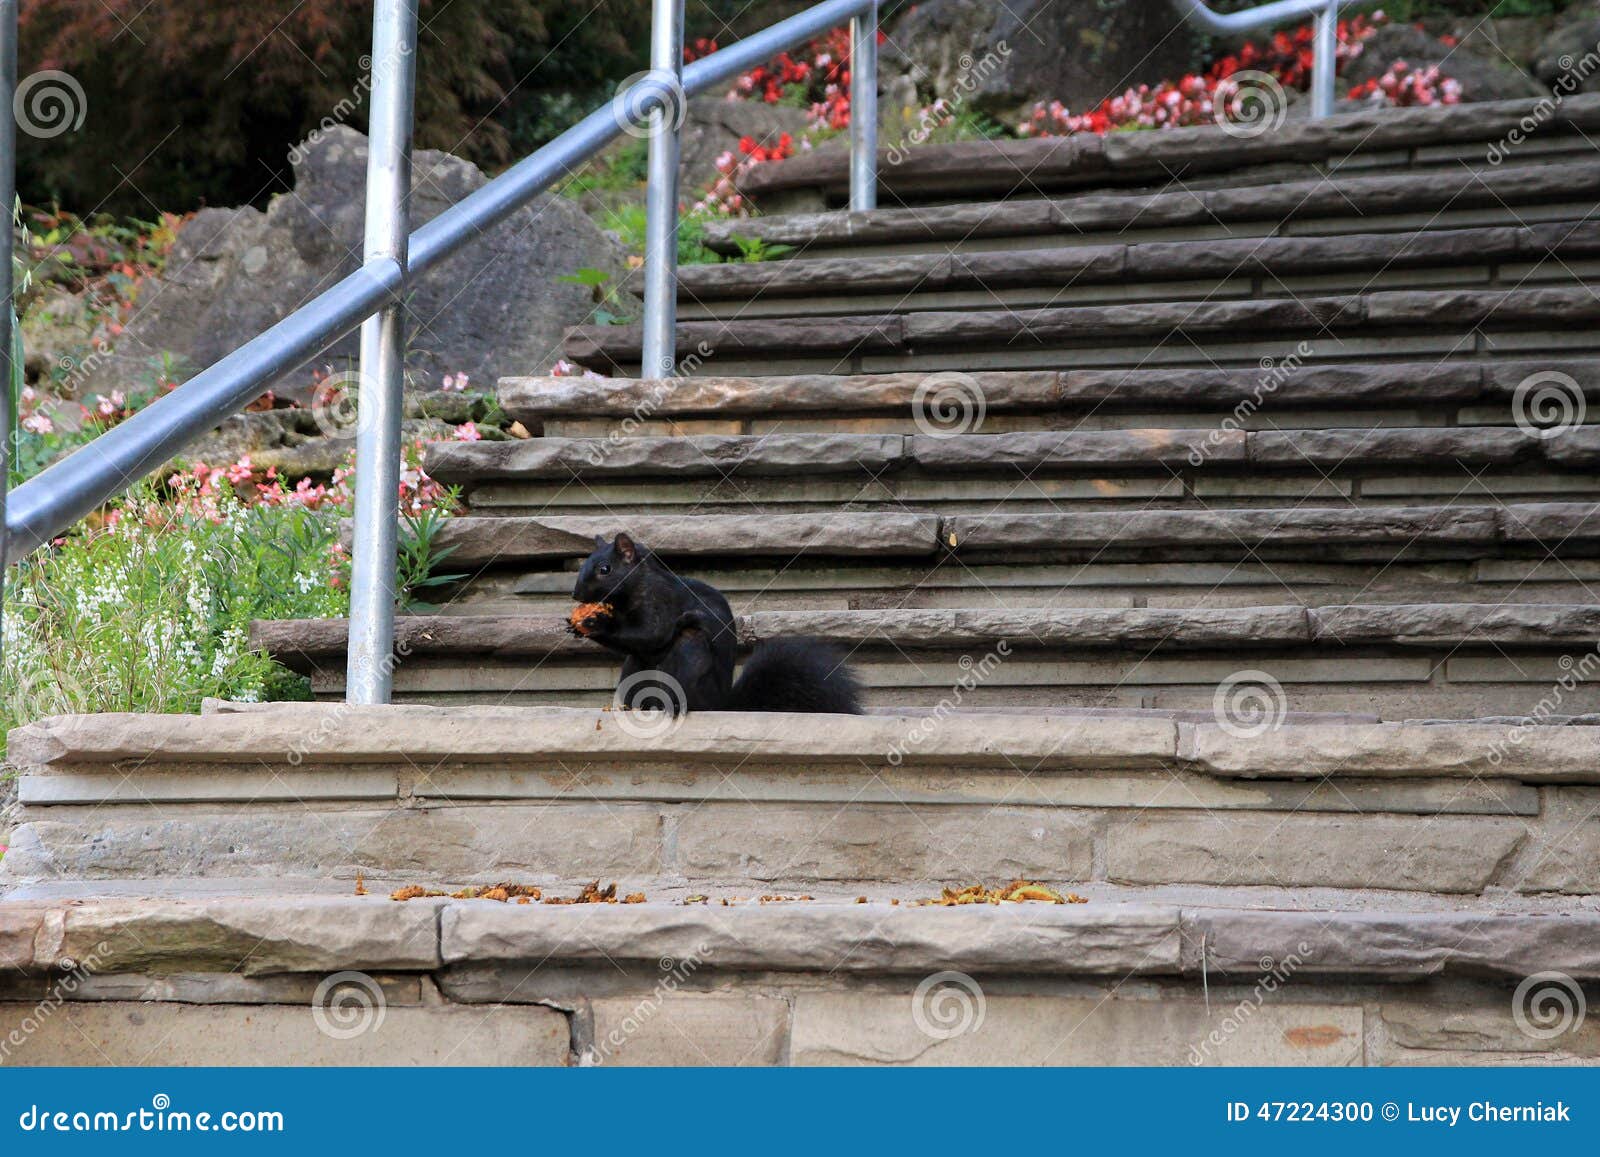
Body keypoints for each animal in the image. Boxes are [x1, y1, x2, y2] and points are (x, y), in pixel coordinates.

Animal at [569, 532, 863, 715]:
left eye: (605, 569)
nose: (576, 595)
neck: (635, 588)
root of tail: (721, 704)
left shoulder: (662, 600)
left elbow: (653, 633)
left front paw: (596, 624)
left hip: (692, 651)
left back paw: (675, 707)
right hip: (635, 669)